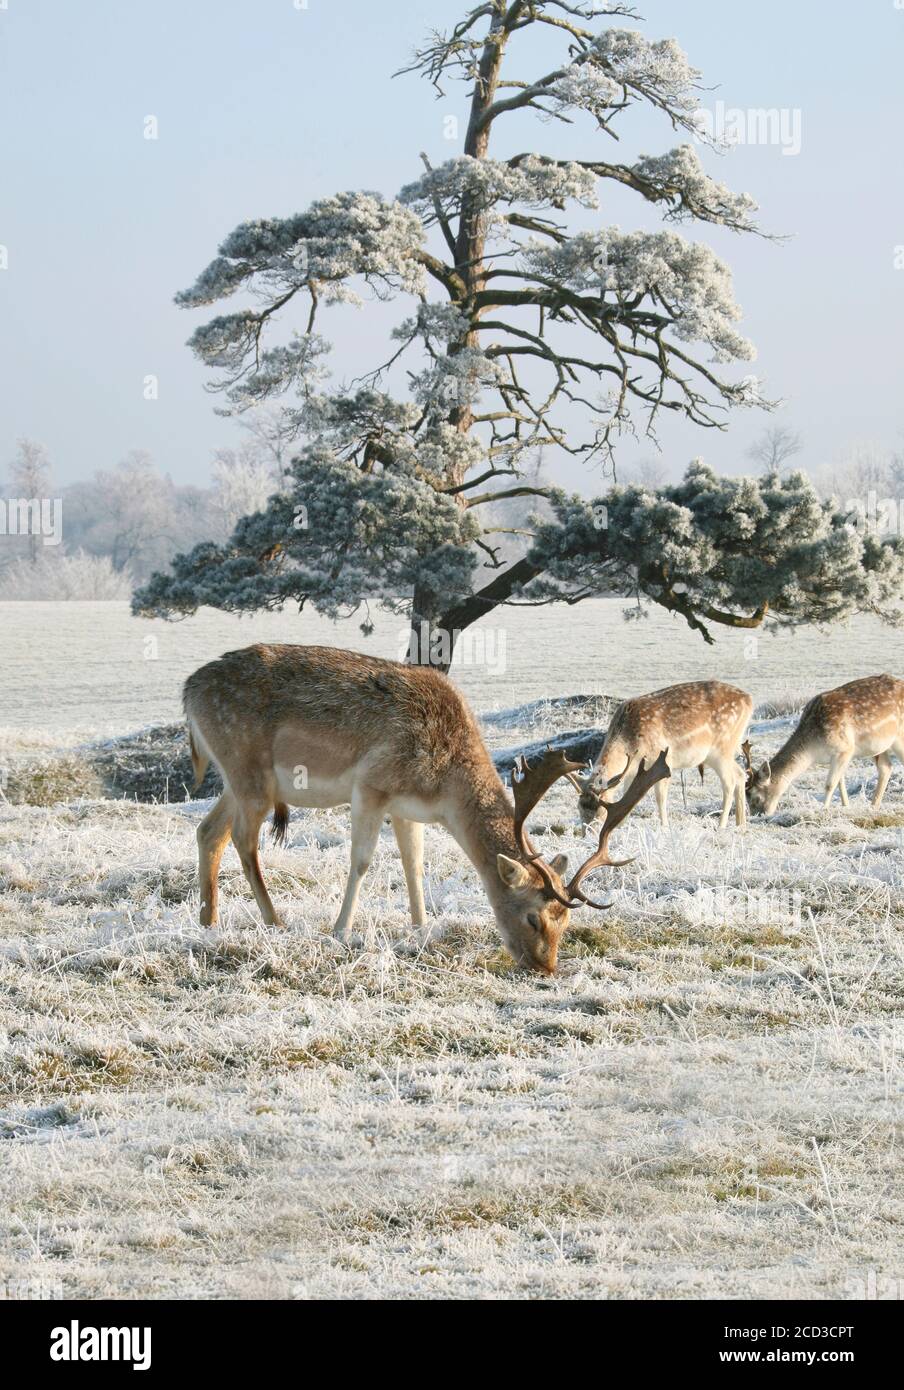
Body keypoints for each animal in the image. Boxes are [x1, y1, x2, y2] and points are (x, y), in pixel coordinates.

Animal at [183, 644, 670, 974]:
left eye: (566, 921)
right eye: (534, 917)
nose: (545, 967)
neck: (444, 787)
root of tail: (188, 692)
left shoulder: (406, 807)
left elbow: (413, 865)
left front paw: (421, 931)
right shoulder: (370, 785)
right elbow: (361, 862)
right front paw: (340, 933)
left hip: (238, 779)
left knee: (209, 831)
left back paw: (208, 923)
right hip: (248, 771)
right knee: (243, 840)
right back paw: (275, 922)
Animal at [571, 680, 753, 831]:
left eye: (601, 810)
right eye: (579, 808)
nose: (588, 834)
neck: (631, 740)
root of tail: (749, 700)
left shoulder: (663, 761)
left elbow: (660, 797)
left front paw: (664, 826)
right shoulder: (632, 771)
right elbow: (627, 798)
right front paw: (621, 826)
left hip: (722, 748)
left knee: (729, 781)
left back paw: (721, 825)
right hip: (719, 754)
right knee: (740, 774)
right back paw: (741, 824)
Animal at [745, 674, 904, 815]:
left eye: (755, 797)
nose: (758, 815)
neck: (814, 749)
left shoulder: (845, 748)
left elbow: (830, 784)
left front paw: (824, 809)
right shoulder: (836, 756)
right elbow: (840, 782)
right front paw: (845, 806)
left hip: (898, 737)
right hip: (877, 746)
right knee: (886, 767)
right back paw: (873, 806)